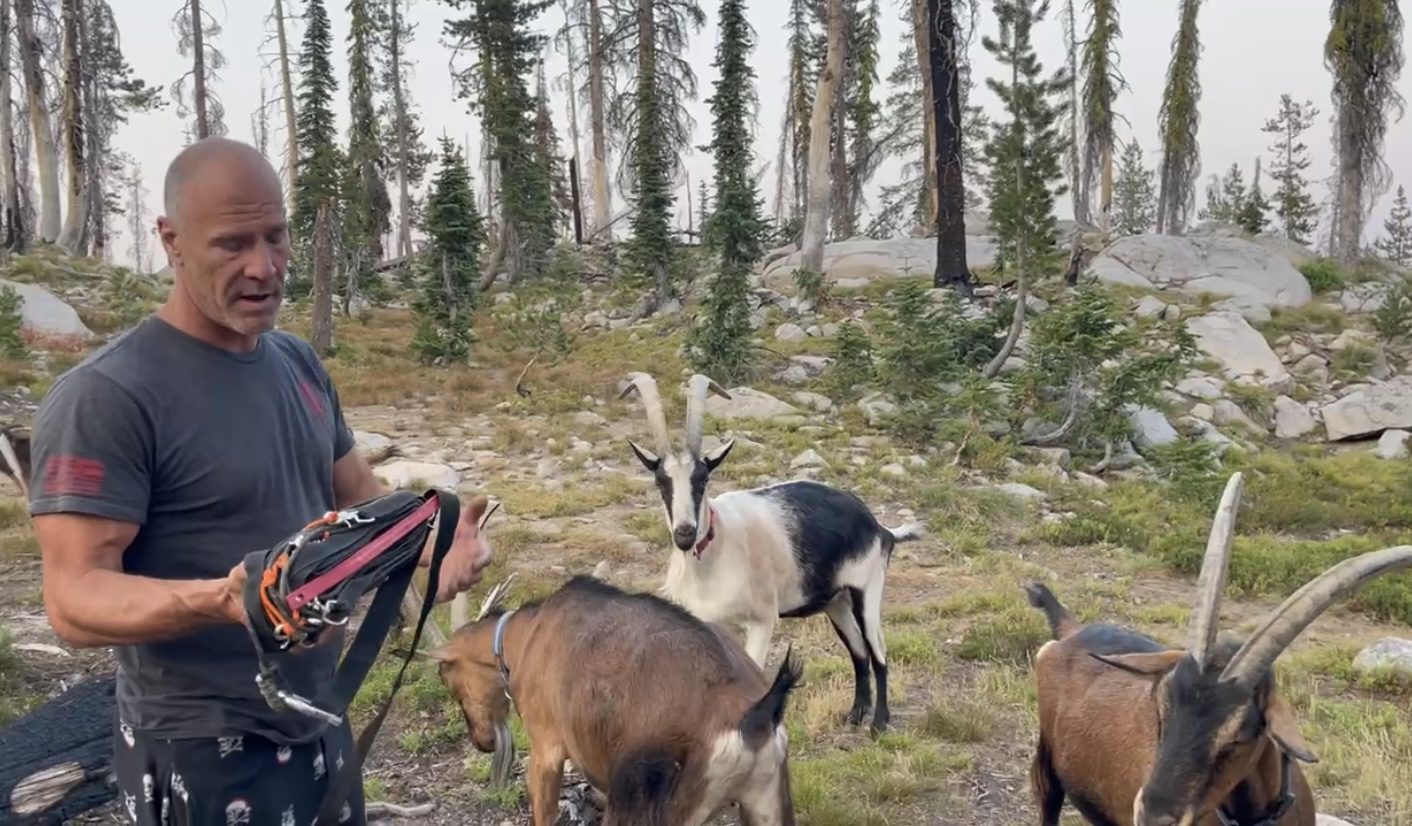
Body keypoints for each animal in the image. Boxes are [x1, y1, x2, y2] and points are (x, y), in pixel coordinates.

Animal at [429, 573, 803, 826]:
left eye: (445, 675)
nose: (483, 741)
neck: (526, 636)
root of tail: (756, 716)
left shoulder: (546, 747)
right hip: (766, 800)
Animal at [617, 371, 923, 733]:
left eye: (703, 478)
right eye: (661, 482)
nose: (685, 533)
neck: (717, 552)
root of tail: (879, 528)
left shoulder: (762, 620)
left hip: (867, 591)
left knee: (878, 652)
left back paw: (878, 723)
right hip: (836, 602)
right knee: (858, 651)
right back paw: (855, 715)